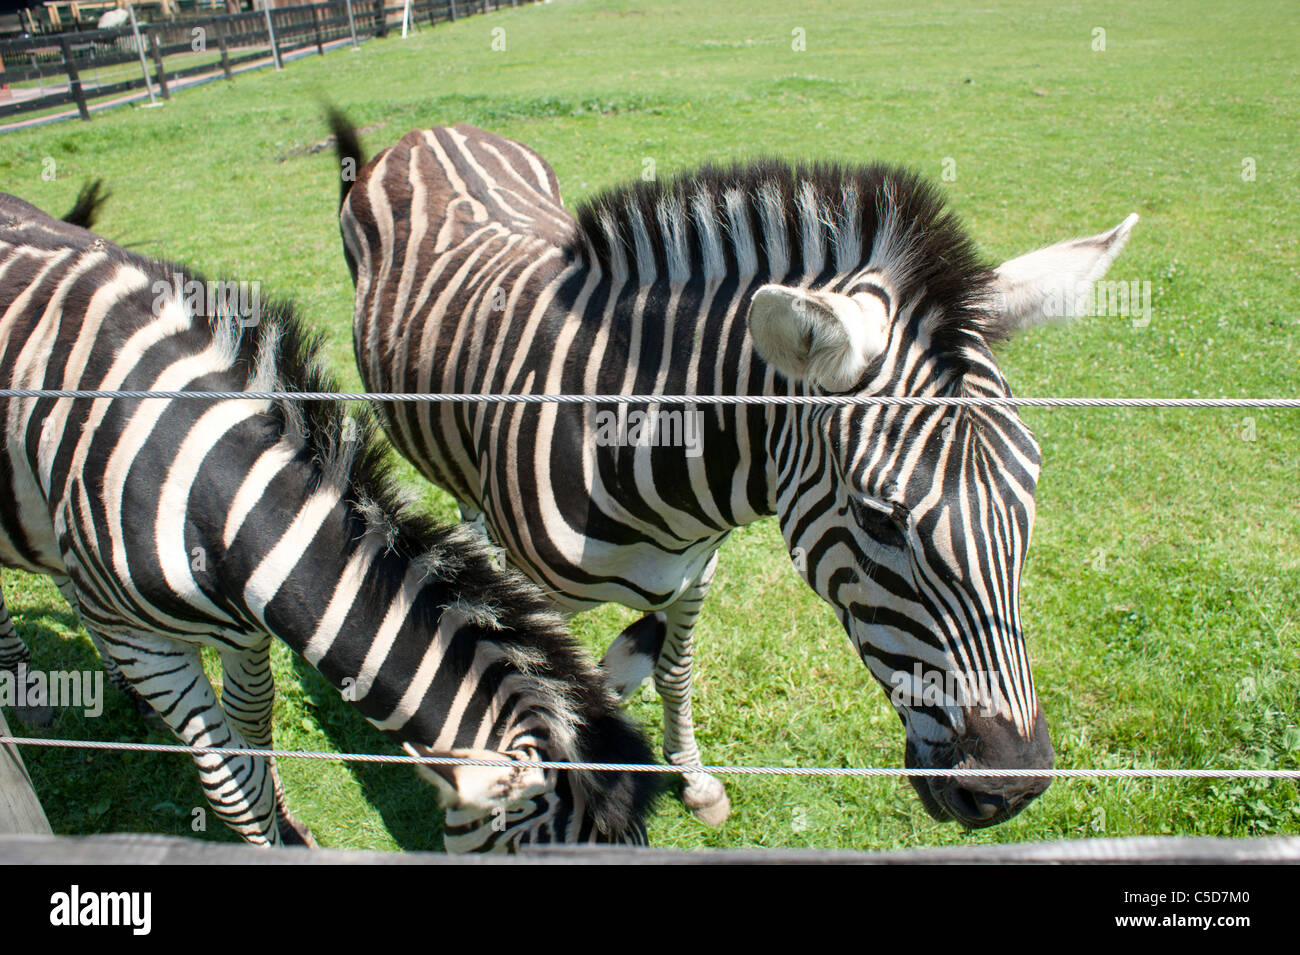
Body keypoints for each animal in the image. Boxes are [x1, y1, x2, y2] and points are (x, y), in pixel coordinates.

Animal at [0, 189, 658, 851]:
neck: (217, 502)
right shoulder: (149, 650)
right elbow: (231, 783)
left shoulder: (245, 633)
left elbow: (254, 732)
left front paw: (288, 828)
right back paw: (29, 697)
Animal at [331, 117, 1137, 829]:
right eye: (878, 518)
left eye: (1030, 486)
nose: (1013, 788)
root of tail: (427, 132)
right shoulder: (542, 599)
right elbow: (539, 688)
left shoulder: (695, 572)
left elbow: (673, 672)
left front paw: (693, 781)